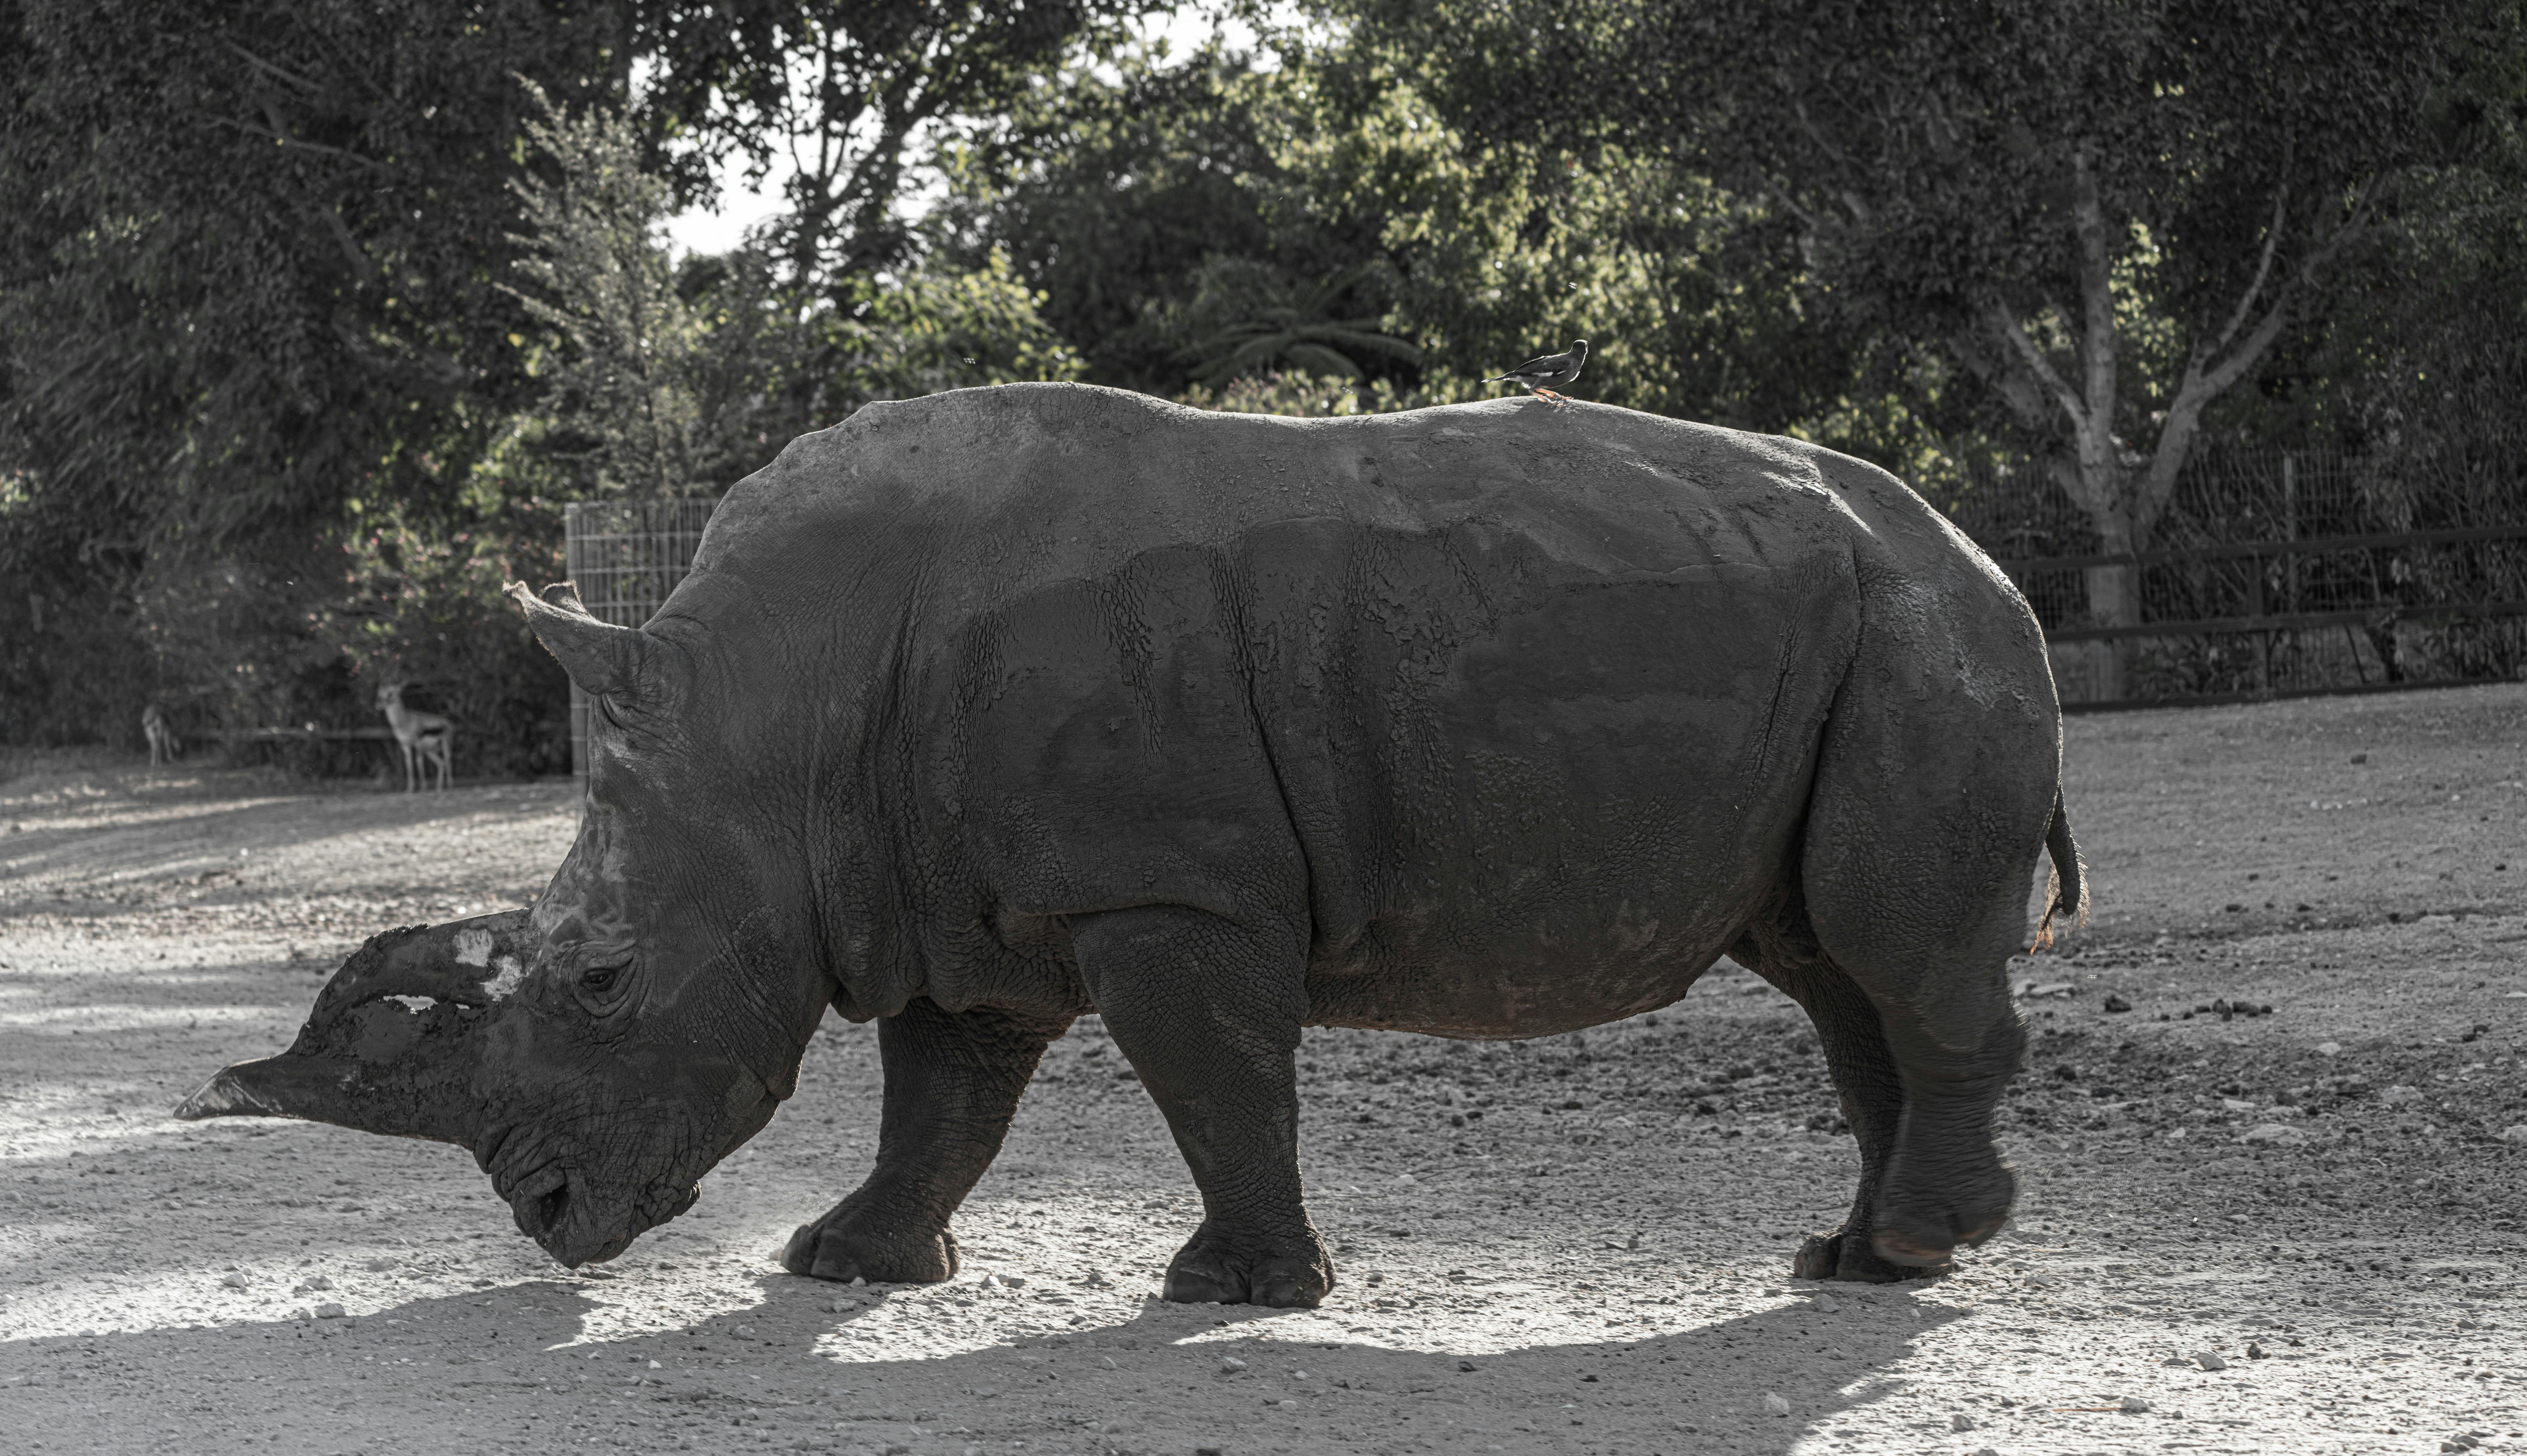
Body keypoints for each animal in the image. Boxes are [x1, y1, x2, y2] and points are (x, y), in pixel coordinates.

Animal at [178, 382, 2083, 1304]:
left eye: (595, 979)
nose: (551, 1216)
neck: (779, 720)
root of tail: (1985, 555)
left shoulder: (1163, 881)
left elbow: (1211, 1079)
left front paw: (1232, 1294)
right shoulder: (942, 896)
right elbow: (941, 1103)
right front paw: (843, 1264)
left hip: (1924, 640)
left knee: (1887, 949)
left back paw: (1919, 1251)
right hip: (1858, 637)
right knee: (1832, 965)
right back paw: (1860, 1261)